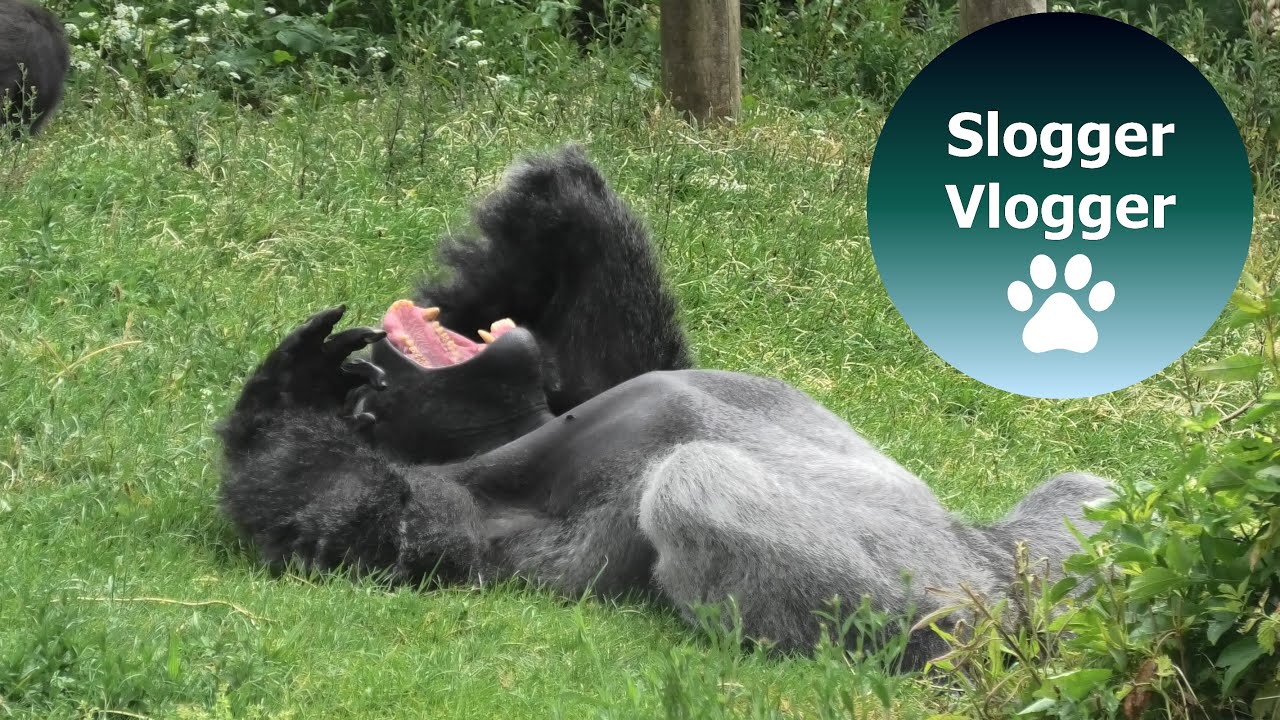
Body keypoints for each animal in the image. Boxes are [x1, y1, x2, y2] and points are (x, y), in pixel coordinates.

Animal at [217, 145, 1112, 671]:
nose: (376, 369)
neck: (524, 421)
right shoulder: (477, 509)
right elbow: (358, 518)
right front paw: (286, 399)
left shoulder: (579, 380)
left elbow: (627, 348)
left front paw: (547, 216)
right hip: (981, 616)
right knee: (697, 487)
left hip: (1042, 556)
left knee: (1083, 492)